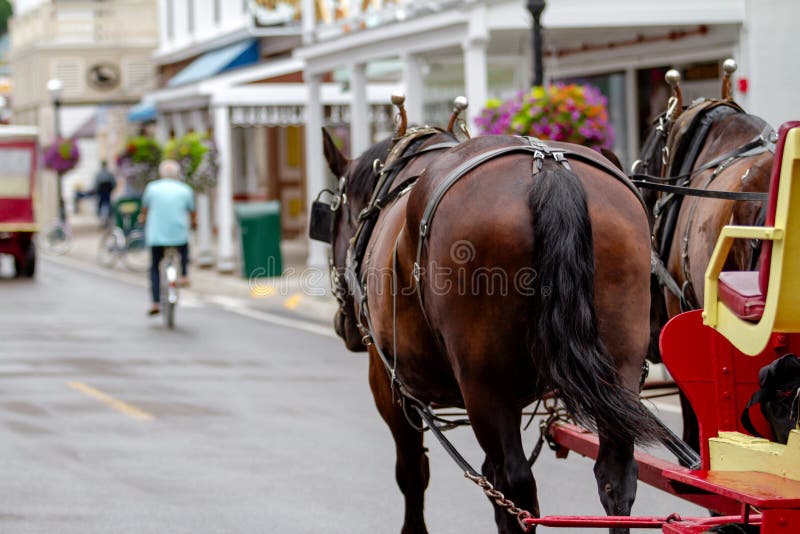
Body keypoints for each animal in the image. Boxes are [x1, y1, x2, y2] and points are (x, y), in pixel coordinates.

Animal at [318, 115, 662, 534]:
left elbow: (413, 474)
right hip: (620, 370)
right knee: (614, 478)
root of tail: (547, 167)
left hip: (484, 387)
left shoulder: (389, 385)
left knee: (517, 485)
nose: (343, 325)